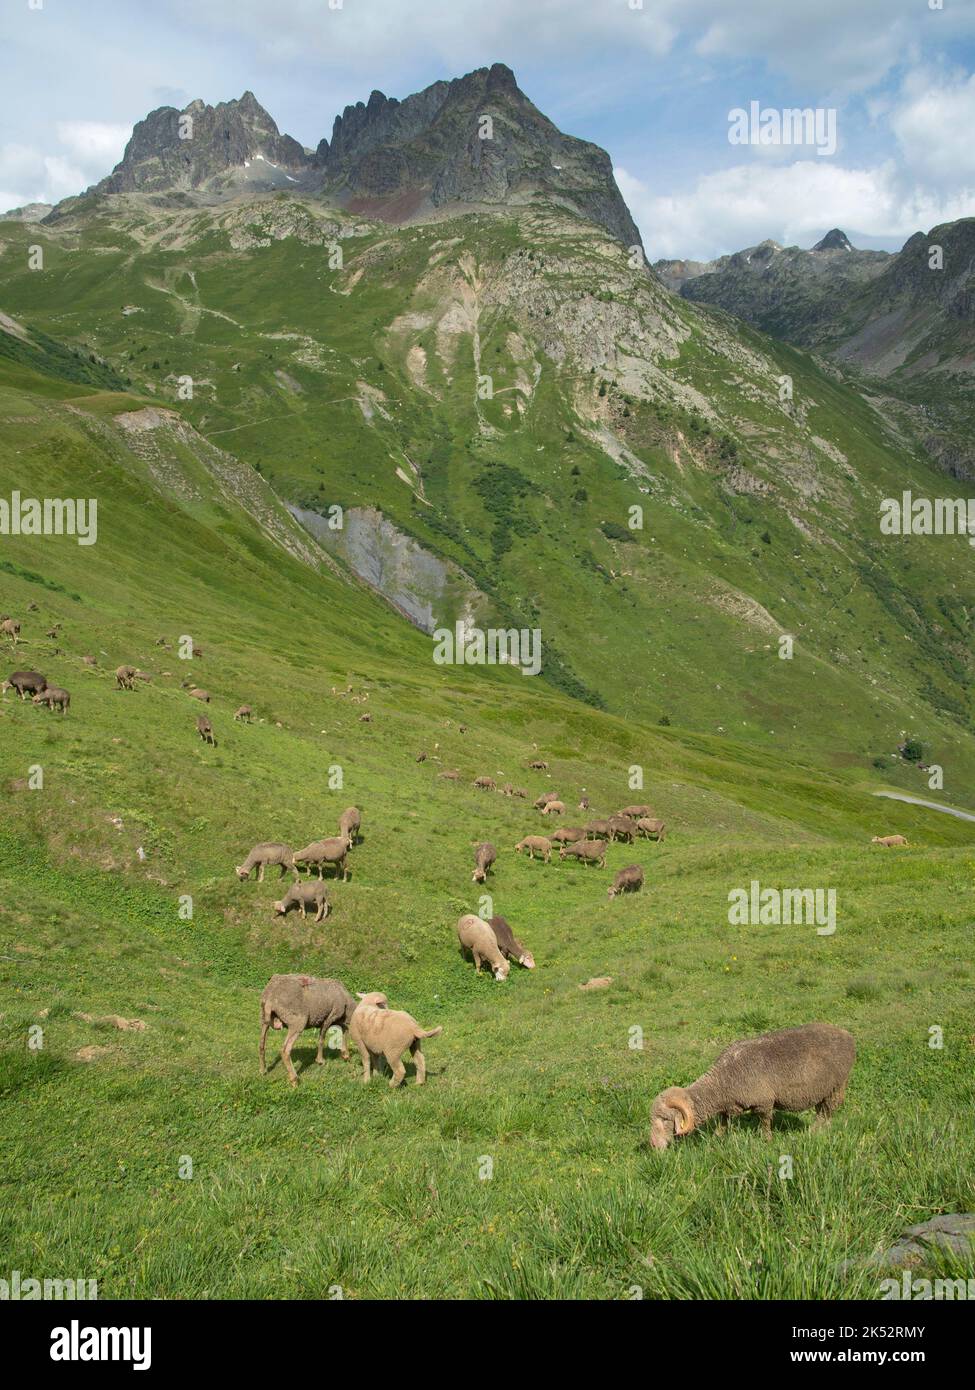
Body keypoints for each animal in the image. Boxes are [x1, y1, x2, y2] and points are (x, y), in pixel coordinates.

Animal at [649, 1022, 856, 1150]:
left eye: (666, 1120)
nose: (653, 1146)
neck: (722, 1082)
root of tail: (847, 1035)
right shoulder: (729, 1108)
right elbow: (723, 1124)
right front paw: (716, 1139)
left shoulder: (764, 1103)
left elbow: (764, 1123)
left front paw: (768, 1142)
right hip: (826, 1090)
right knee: (823, 1111)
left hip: (837, 1085)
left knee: (828, 1110)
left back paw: (814, 1133)